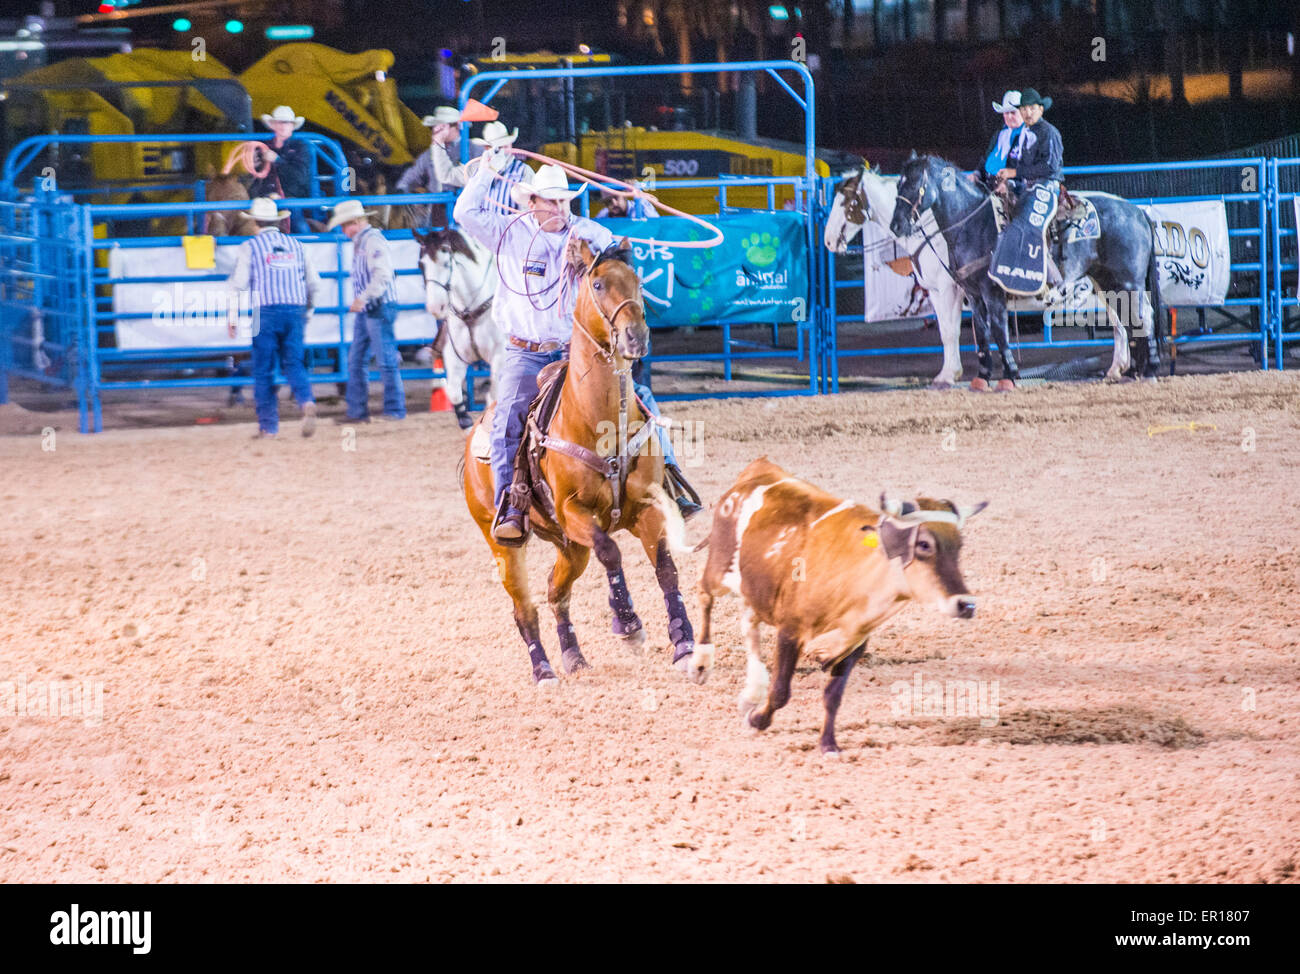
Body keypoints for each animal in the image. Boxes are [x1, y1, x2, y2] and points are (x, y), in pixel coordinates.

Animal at [692, 458, 987, 755]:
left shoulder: (855, 644)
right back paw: (701, 663)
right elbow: (781, 691)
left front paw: (828, 743)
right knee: (704, 595)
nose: (965, 604)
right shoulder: (790, 630)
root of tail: (759, 469)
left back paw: (751, 691)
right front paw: (757, 721)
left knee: (749, 623)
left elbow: (833, 696)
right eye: (924, 544)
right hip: (718, 569)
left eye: (959, 545)